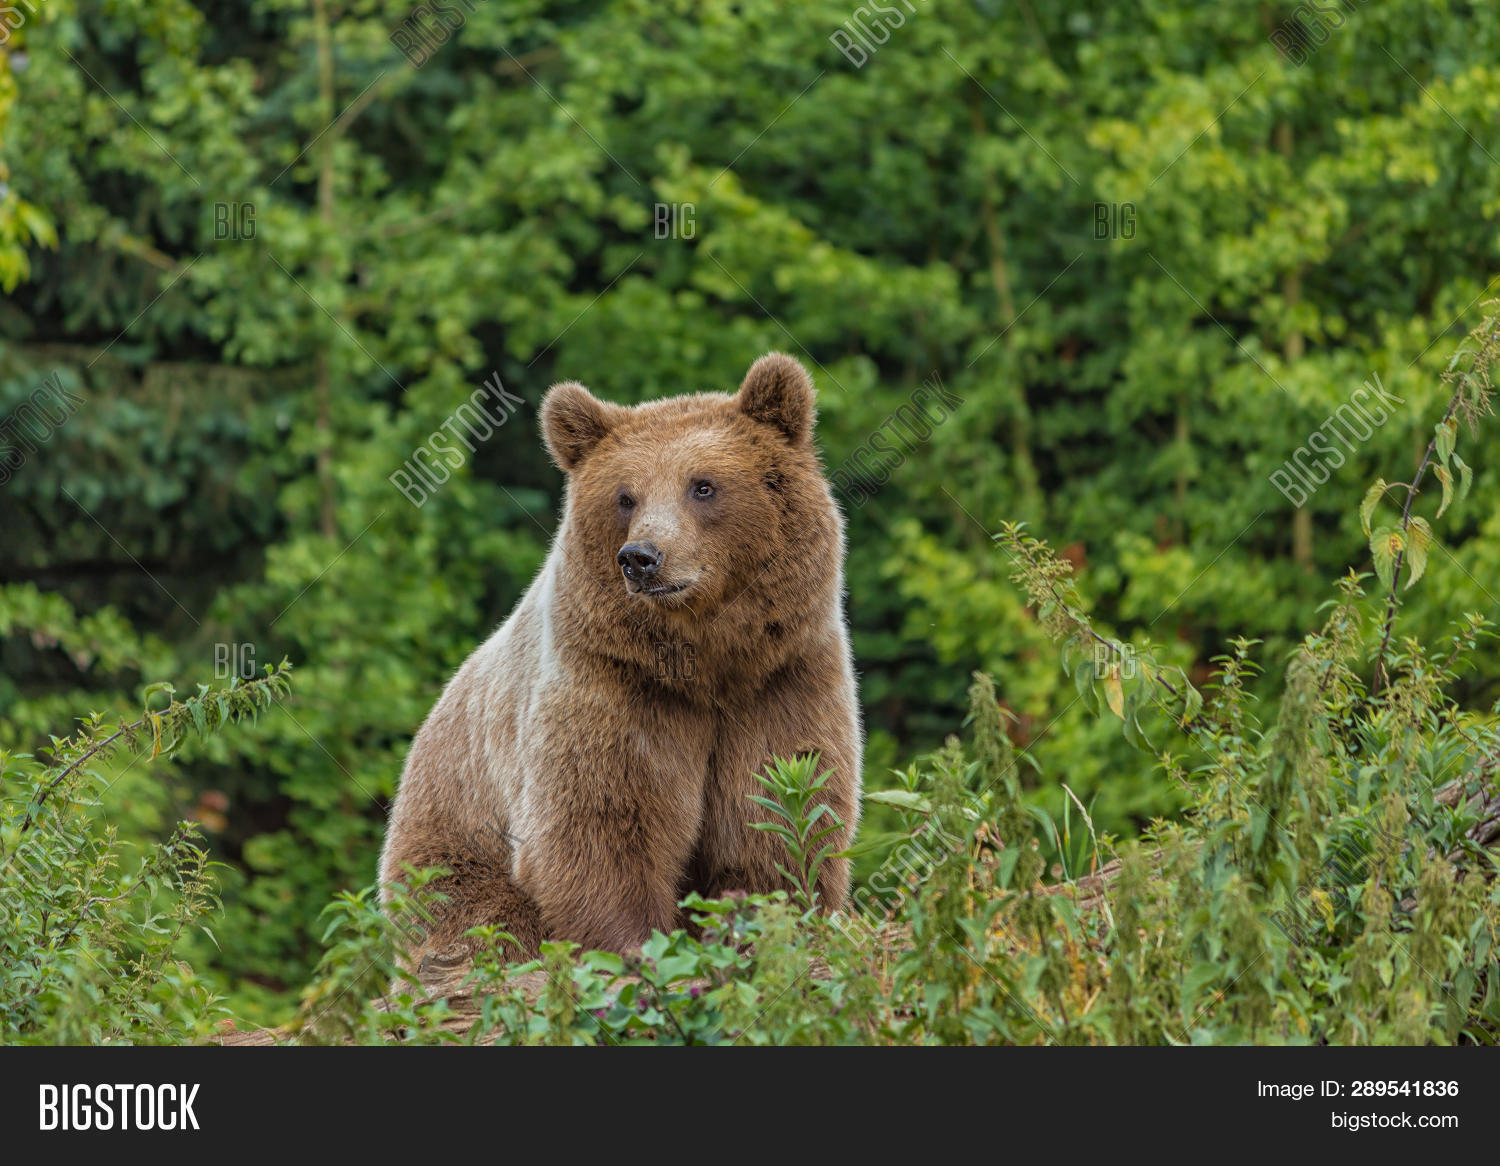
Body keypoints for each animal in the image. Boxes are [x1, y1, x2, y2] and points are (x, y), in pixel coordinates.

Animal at [379, 352, 862, 969]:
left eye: (703, 485)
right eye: (626, 495)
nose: (641, 557)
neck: (708, 662)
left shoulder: (783, 679)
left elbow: (777, 816)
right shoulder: (612, 682)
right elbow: (600, 827)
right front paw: (638, 949)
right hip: (450, 850)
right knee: (483, 926)